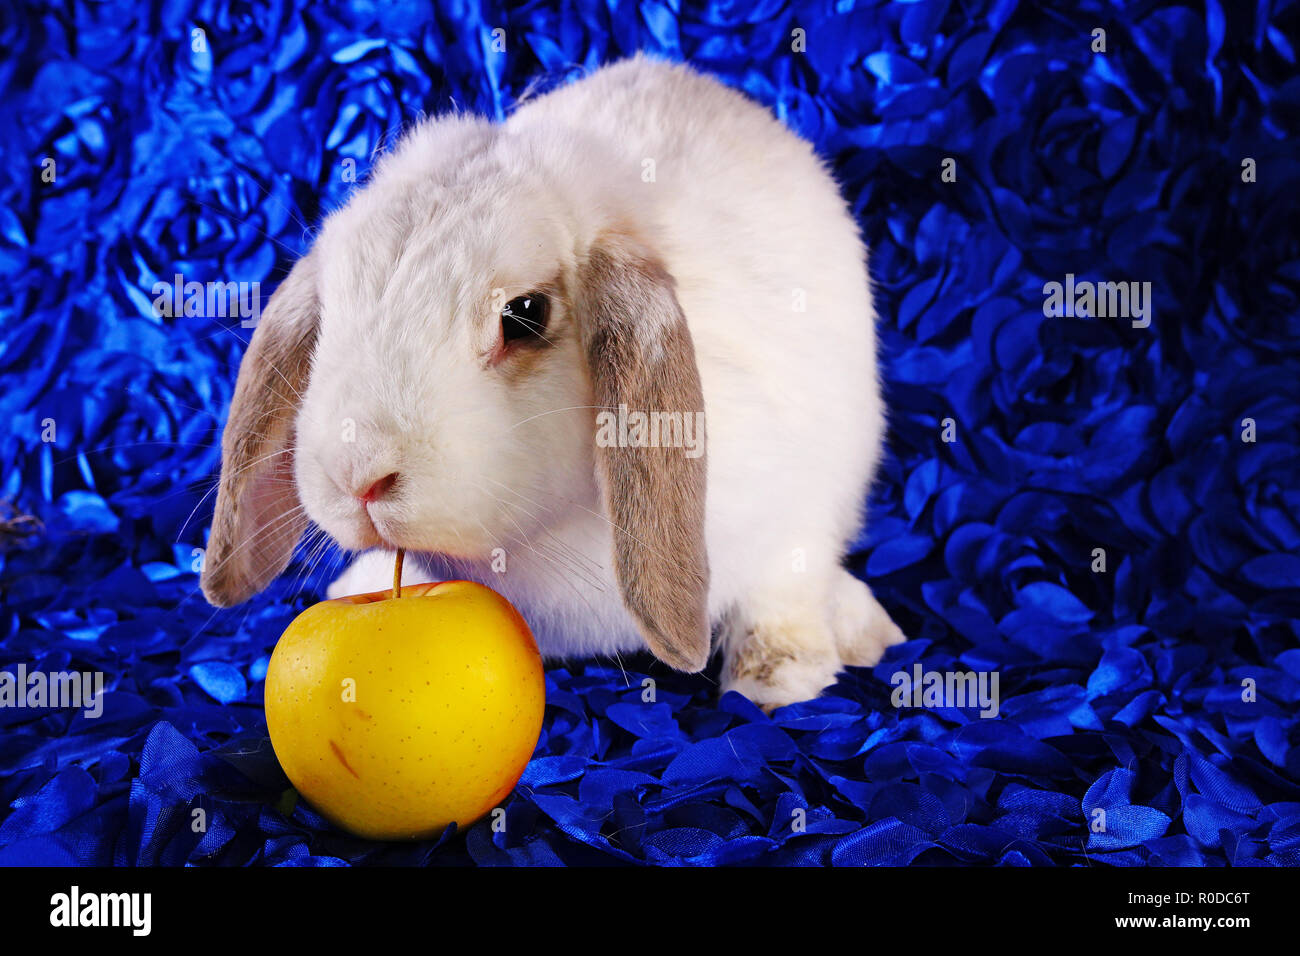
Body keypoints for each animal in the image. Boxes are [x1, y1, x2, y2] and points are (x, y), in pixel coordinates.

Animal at [200, 54, 904, 710]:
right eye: (327, 316)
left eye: (525, 315)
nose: (357, 477)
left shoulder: (794, 515)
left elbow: (782, 590)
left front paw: (776, 678)